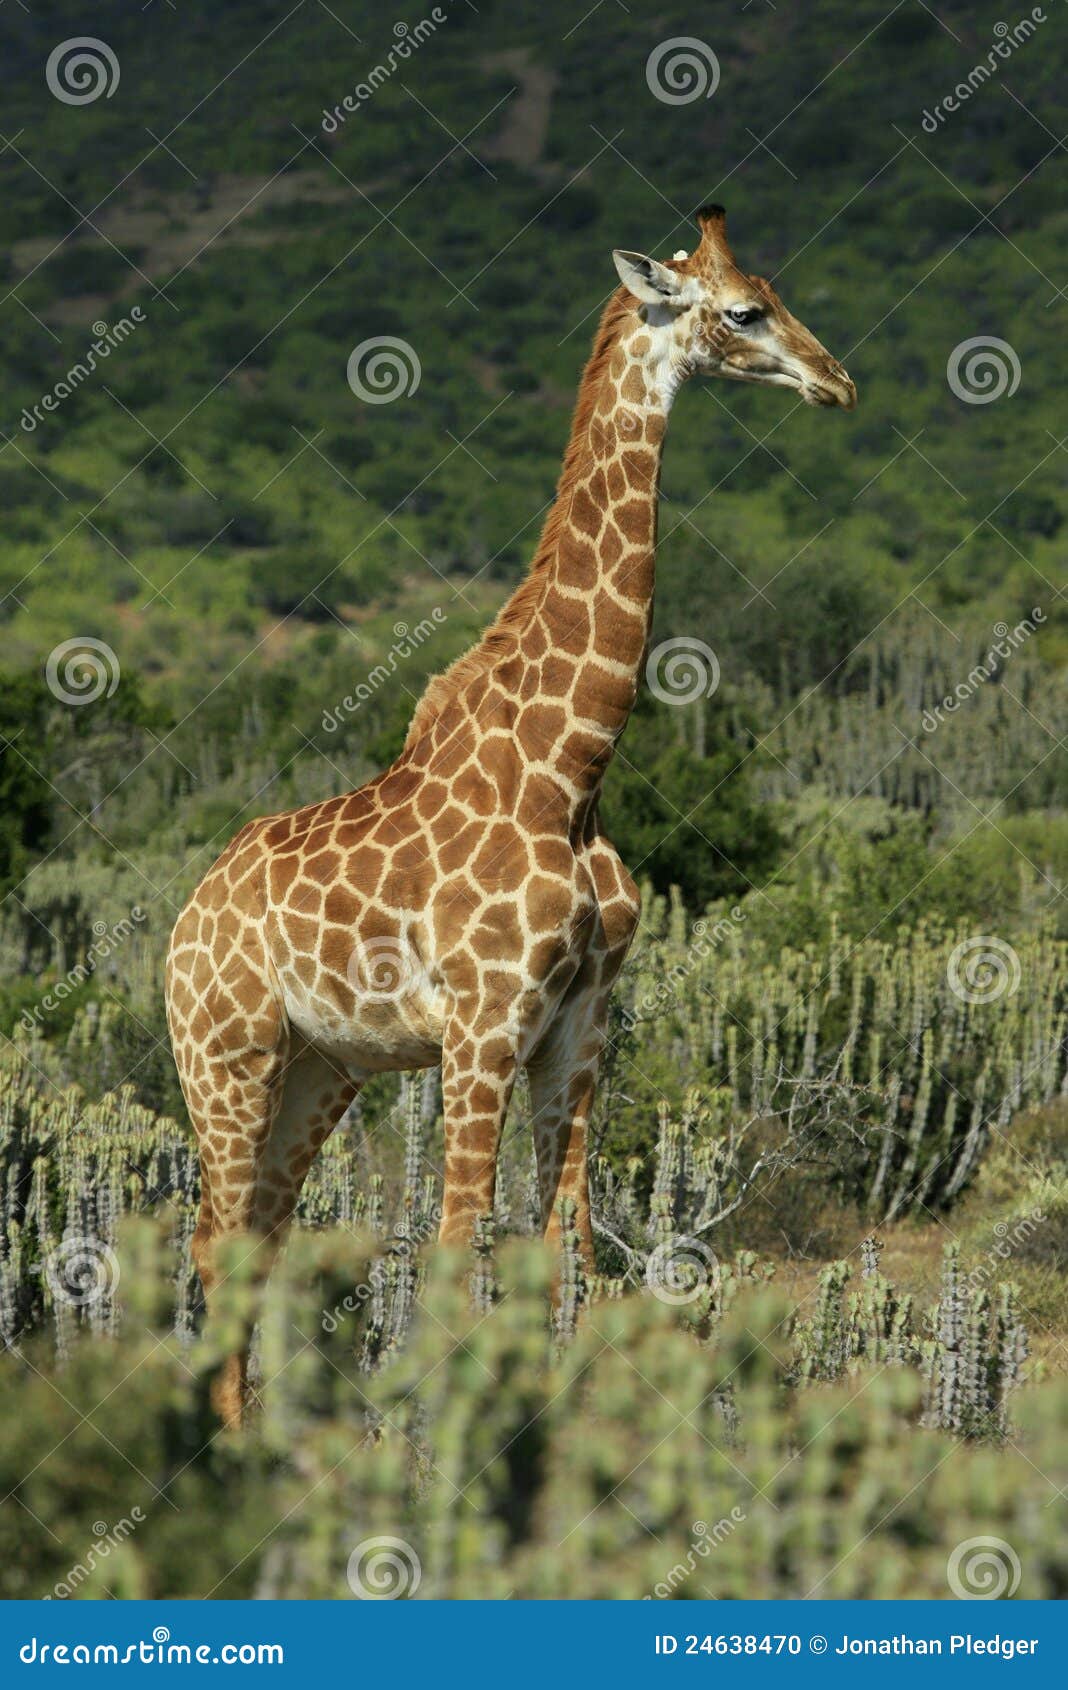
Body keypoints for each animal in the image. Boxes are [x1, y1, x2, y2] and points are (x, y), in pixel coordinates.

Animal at [165, 204, 856, 1425]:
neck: (568, 771)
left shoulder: (581, 1025)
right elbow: (458, 1246)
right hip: (225, 1057)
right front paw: (442, 1440)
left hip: (319, 1068)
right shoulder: (482, 1026)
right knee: (215, 1240)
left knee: (261, 1235)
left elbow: (563, 1243)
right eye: (744, 311)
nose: (837, 380)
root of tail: (176, 927)